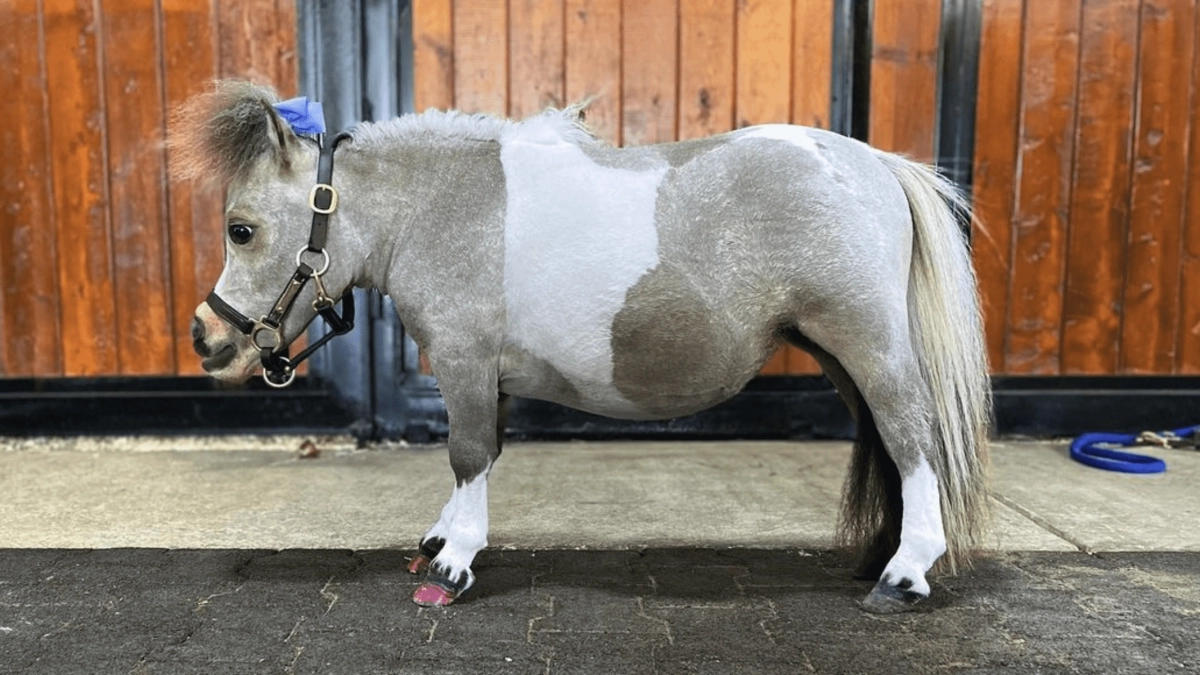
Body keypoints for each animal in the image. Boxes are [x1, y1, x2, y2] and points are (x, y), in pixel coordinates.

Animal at [176, 80, 990, 614]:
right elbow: (482, 455)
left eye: (241, 229)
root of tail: (875, 164)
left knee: (910, 436)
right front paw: (442, 539)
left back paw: (905, 574)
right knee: (888, 441)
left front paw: (454, 564)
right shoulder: (488, 377)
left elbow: (467, 455)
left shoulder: (465, 362)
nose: (206, 337)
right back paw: (883, 555)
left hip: (866, 340)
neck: (439, 209)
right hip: (839, 353)